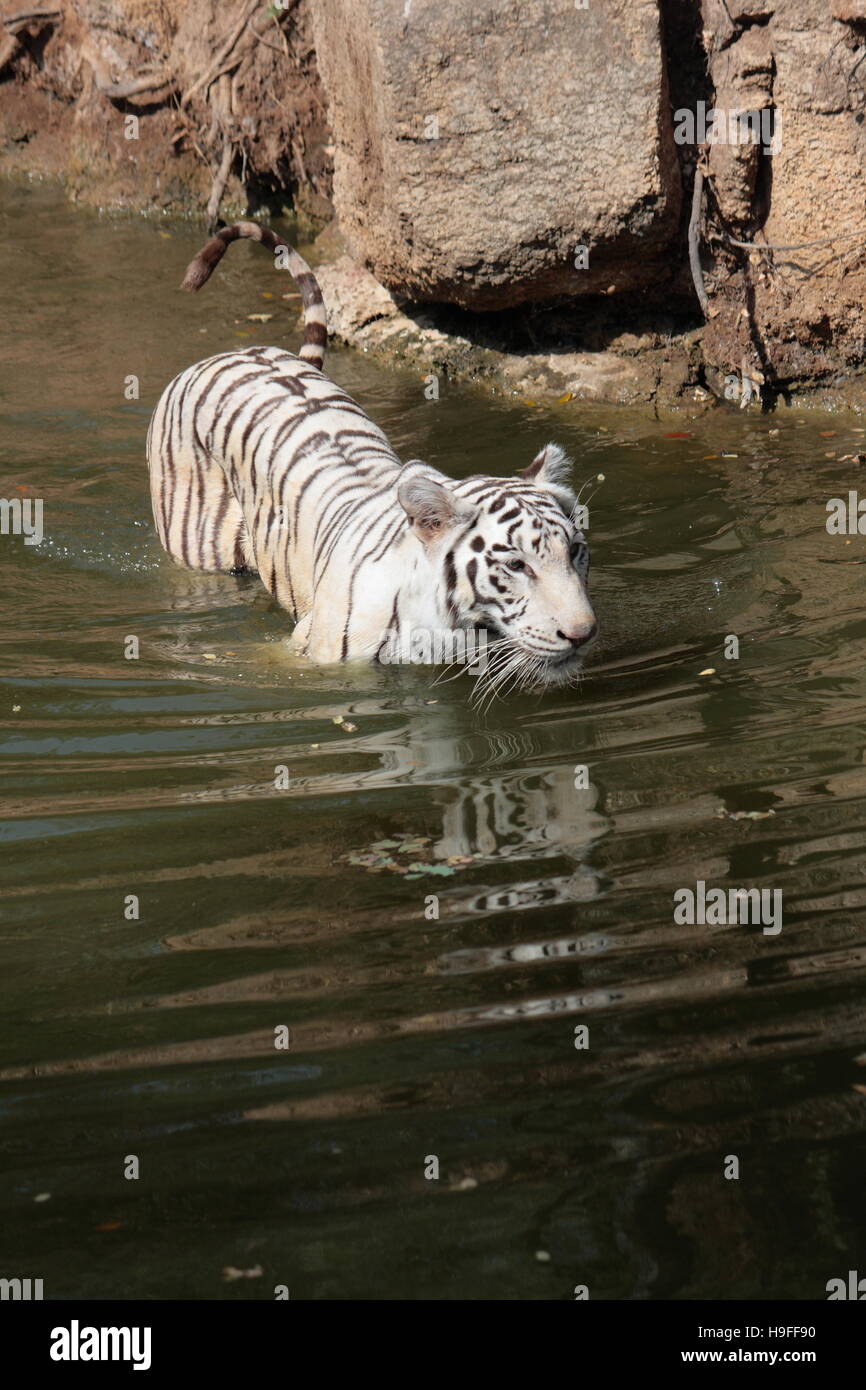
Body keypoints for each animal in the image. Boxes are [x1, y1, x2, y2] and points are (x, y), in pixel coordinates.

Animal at [146, 221, 597, 695]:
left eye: (575, 551)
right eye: (515, 564)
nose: (583, 634)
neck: (453, 629)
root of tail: (240, 350)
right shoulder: (306, 649)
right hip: (201, 550)